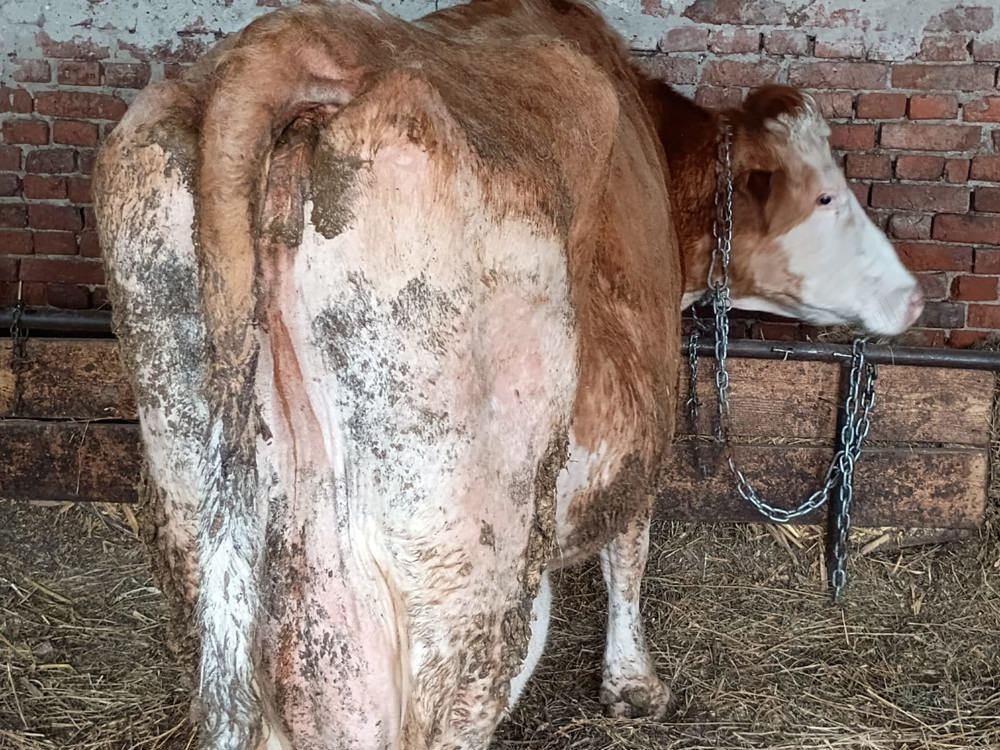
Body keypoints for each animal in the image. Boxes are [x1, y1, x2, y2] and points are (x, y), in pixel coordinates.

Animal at [92, 0, 923, 748]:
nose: (914, 295)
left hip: (200, 529)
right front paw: (634, 685)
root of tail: (286, 41)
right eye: (825, 194)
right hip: (468, 576)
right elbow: (629, 548)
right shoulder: (643, 412)